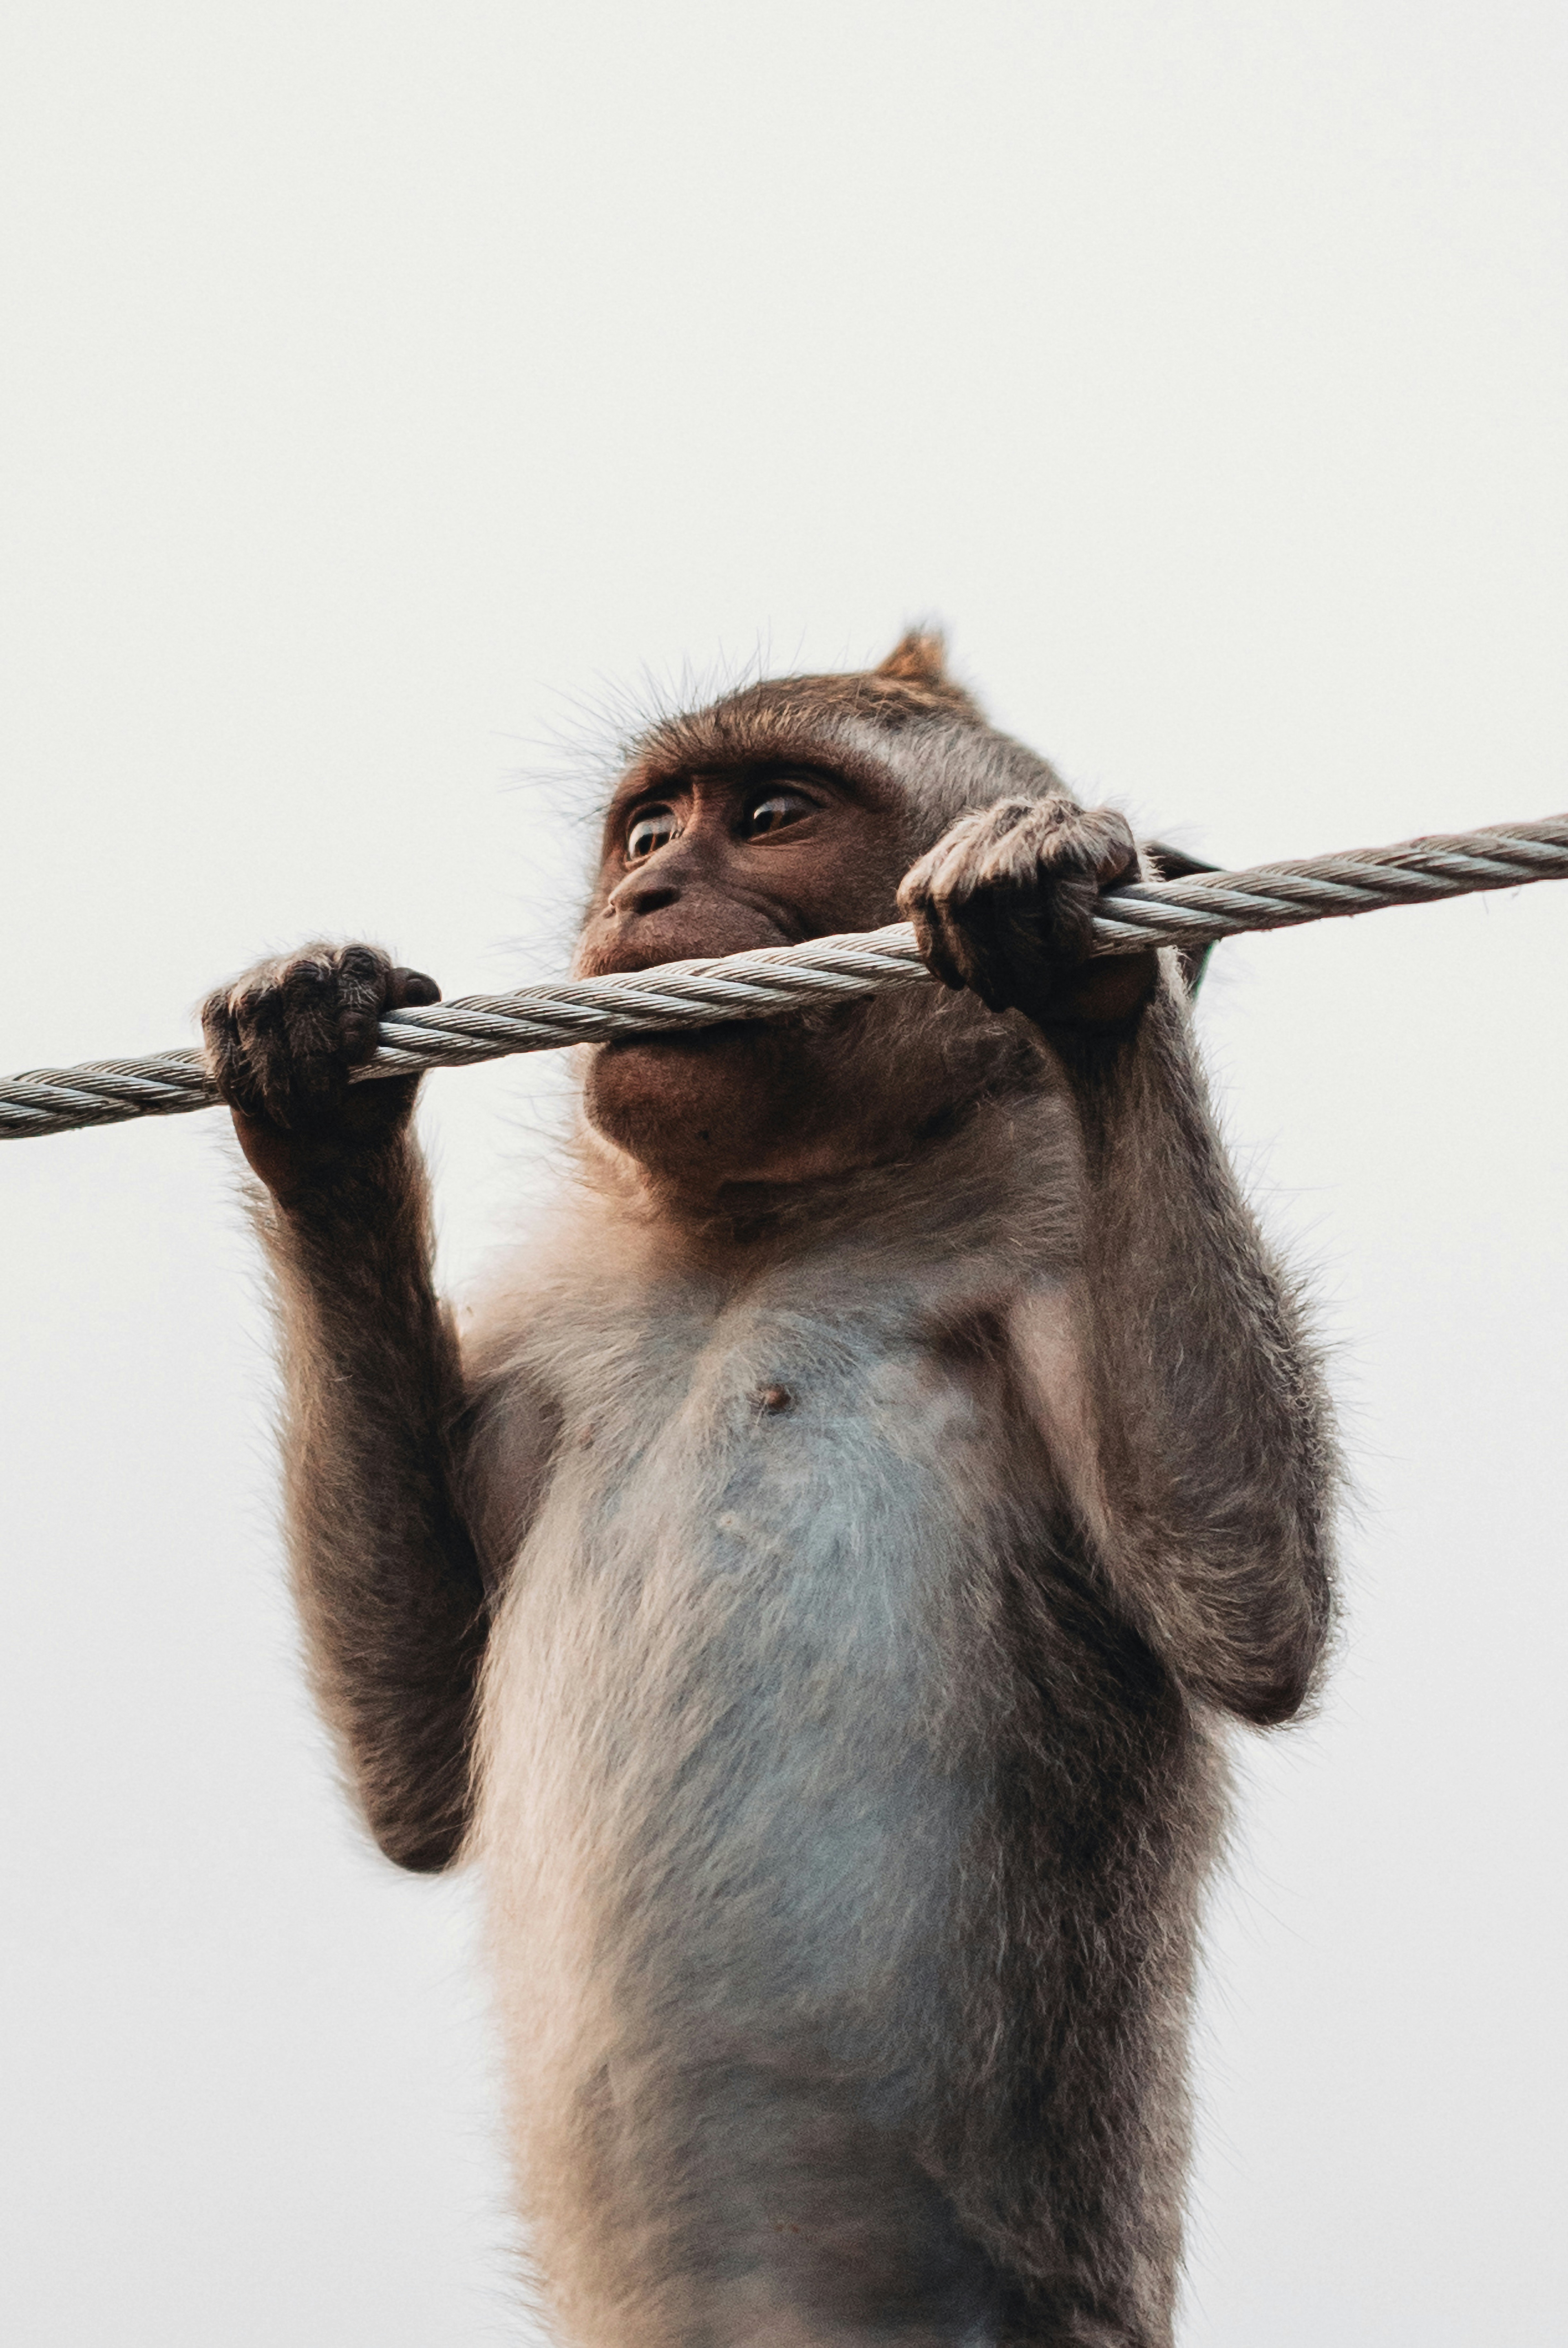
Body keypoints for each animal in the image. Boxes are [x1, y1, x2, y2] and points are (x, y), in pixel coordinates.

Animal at [202, 633, 1336, 2348]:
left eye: (773, 814)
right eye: (649, 826)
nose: (648, 894)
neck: (777, 1218)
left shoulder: (1050, 1234)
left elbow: (1248, 1601)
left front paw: (1075, 955)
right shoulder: (553, 1328)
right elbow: (420, 1772)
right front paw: (316, 1103)